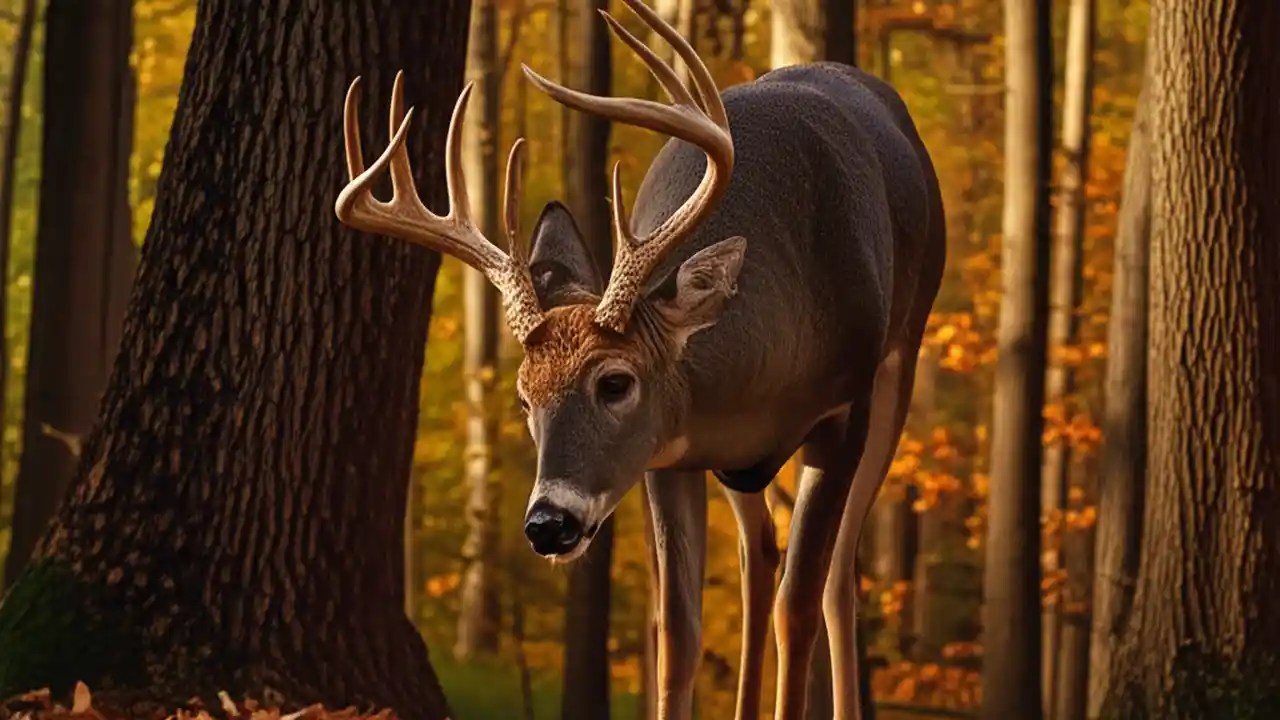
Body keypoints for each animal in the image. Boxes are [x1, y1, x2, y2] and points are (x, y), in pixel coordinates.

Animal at [334, 0, 944, 717]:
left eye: (616, 382)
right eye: (523, 397)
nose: (549, 524)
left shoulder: (843, 409)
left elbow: (799, 606)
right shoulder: (669, 449)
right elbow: (678, 627)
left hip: (901, 360)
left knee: (833, 577)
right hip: (734, 465)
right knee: (759, 556)